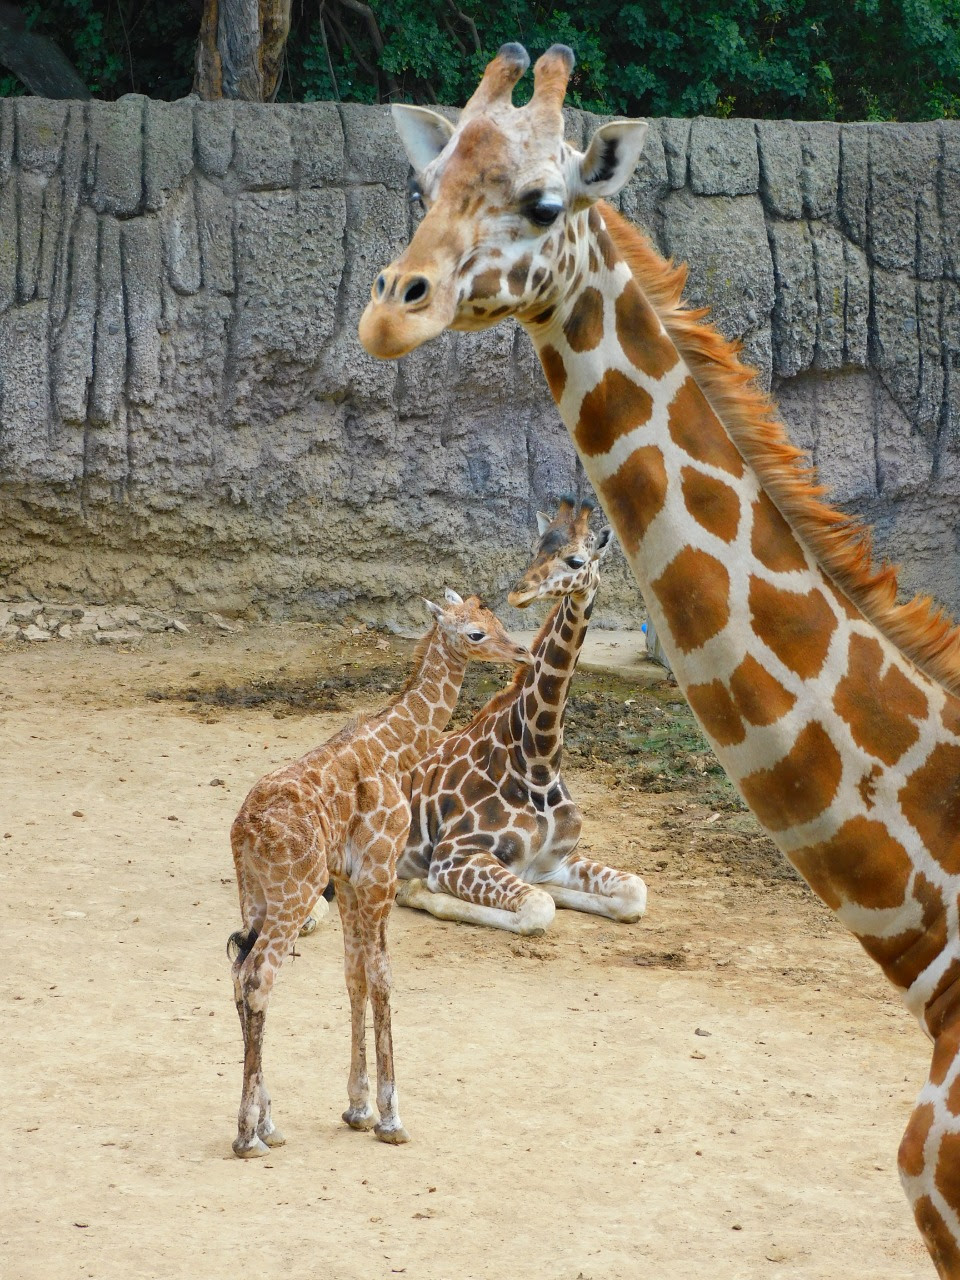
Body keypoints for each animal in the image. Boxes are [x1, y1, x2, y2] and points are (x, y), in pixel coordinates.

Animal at [228, 589, 531, 1156]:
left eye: (496, 617)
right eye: (476, 633)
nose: (522, 653)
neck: (395, 749)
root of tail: (243, 830)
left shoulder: (349, 880)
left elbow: (354, 977)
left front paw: (357, 1108)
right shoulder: (380, 872)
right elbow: (384, 978)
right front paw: (390, 1118)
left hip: (256, 895)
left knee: (237, 974)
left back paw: (267, 1123)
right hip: (294, 893)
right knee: (259, 978)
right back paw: (246, 1136)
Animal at [397, 495, 647, 934]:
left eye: (576, 560)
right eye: (535, 549)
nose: (519, 593)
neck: (538, 762)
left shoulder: (556, 860)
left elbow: (633, 891)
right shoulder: (453, 856)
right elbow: (537, 908)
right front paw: (414, 888)